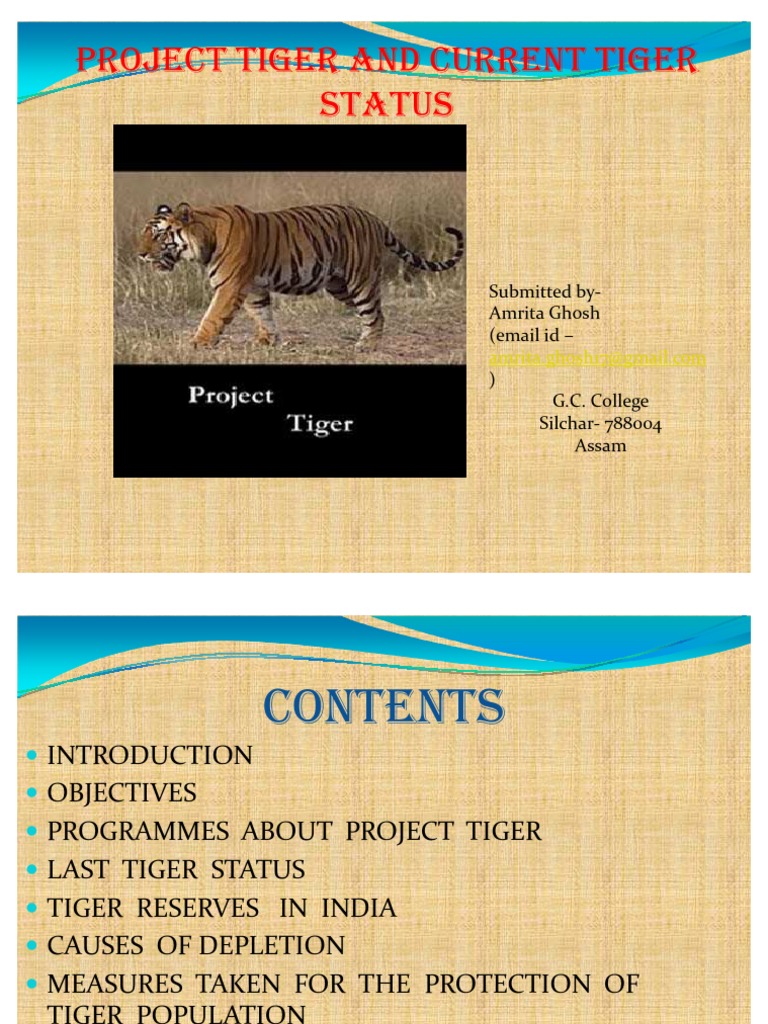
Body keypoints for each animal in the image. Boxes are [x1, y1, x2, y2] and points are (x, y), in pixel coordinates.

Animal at [137, 203, 464, 349]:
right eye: (145, 234)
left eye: (159, 235)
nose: (140, 254)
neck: (205, 238)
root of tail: (373, 217)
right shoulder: (253, 287)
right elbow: (262, 314)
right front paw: (267, 340)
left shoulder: (230, 286)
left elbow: (212, 316)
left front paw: (198, 343)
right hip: (339, 286)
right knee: (373, 311)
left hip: (360, 279)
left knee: (375, 312)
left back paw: (367, 345)